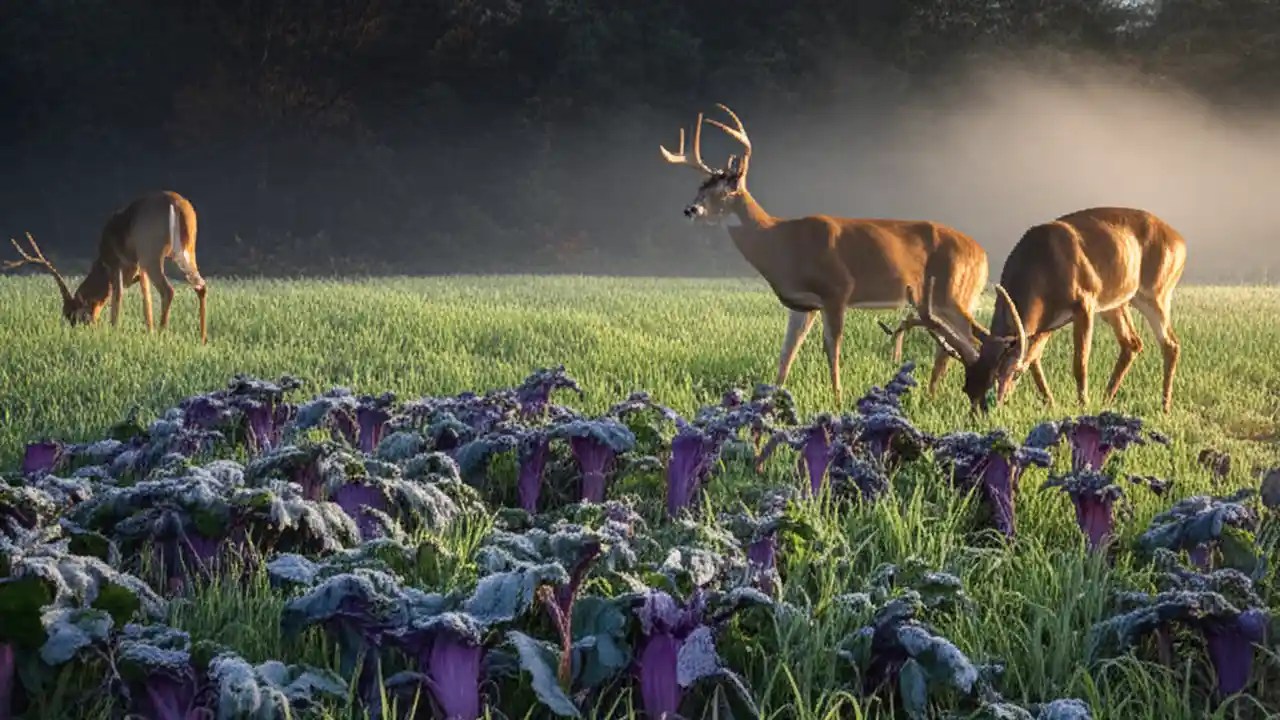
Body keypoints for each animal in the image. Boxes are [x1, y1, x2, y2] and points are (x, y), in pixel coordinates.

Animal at [4, 190, 208, 343]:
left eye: (71, 314)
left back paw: (162, 333)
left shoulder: (116, 263)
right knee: (201, 286)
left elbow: (118, 296)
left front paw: (114, 331)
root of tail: (177, 204)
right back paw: (202, 339)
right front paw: (148, 330)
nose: (78, 330)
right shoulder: (138, 268)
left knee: (169, 290)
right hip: (186, 251)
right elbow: (146, 300)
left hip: (152, 256)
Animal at [659, 103, 990, 403]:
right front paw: (773, 399)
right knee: (951, 342)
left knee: (971, 338)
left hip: (954, 292)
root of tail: (982, 254)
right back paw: (937, 394)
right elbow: (786, 353)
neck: (780, 242)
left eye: (725, 190)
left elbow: (832, 350)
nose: (691, 209)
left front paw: (837, 399)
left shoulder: (837, 289)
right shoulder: (802, 304)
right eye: (700, 187)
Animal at [904, 207, 1186, 413]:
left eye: (1003, 376)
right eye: (967, 387)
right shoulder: (1045, 322)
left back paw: (1164, 407)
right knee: (1133, 343)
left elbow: (1079, 362)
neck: (1042, 266)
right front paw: (1050, 403)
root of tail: (1181, 241)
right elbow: (1034, 359)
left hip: (1156, 293)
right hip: (1117, 304)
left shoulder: (1085, 302)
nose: (982, 415)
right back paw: (1107, 401)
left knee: (1170, 343)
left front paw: (1082, 407)